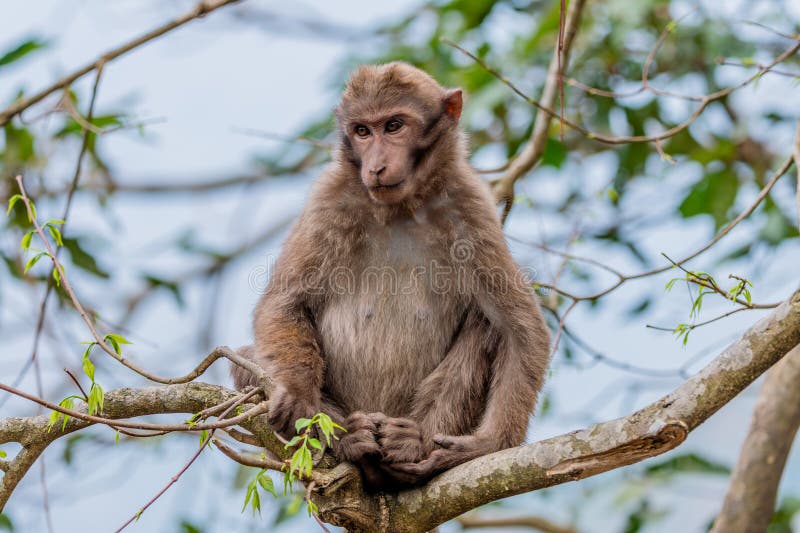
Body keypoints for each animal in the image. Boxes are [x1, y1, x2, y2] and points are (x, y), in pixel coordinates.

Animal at [231, 62, 551, 490]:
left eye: (394, 125)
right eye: (362, 131)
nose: (376, 166)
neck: (402, 206)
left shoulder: (469, 205)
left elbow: (521, 328)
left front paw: (485, 444)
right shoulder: (330, 200)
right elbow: (283, 303)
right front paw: (299, 394)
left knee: (486, 323)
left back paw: (411, 446)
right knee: (245, 360)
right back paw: (350, 438)